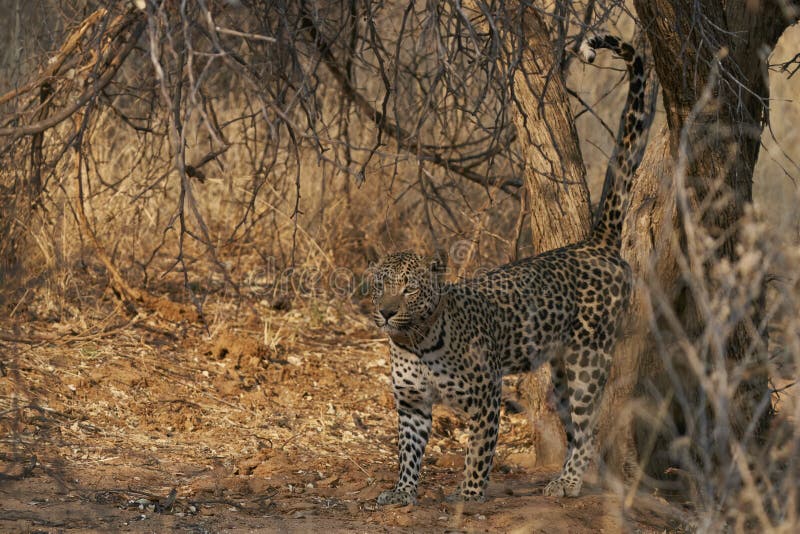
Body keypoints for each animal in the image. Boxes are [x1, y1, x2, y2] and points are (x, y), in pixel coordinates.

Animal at [370, 33, 650, 505]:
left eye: (408, 289)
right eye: (379, 286)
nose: (386, 313)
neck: (416, 341)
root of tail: (595, 243)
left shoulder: (486, 392)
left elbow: (480, 449)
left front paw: (468, 493)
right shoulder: (411, 405)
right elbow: (408, 451)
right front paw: (401, 492)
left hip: (587, 360)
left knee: (589, 427)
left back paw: (568, 483)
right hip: (560, 372)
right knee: (574, 426)